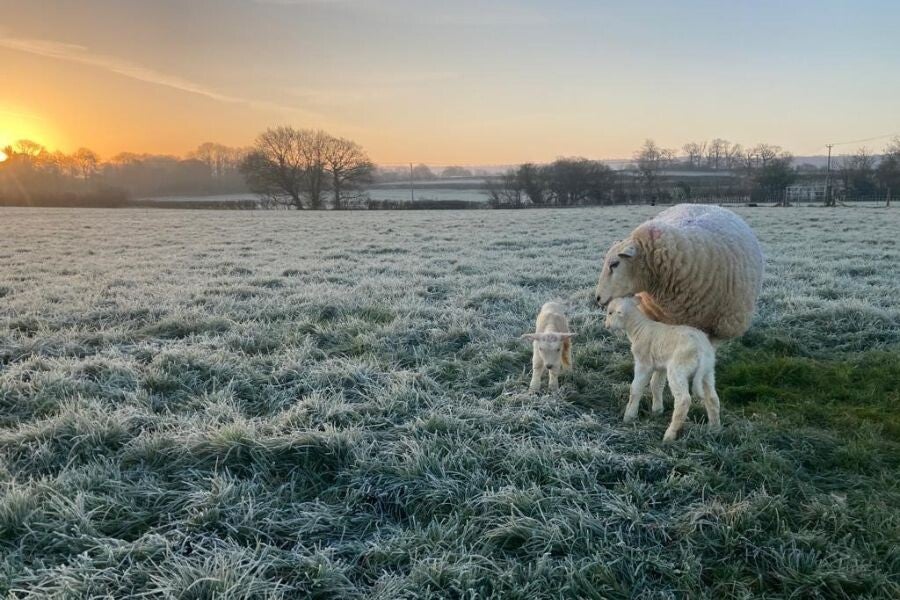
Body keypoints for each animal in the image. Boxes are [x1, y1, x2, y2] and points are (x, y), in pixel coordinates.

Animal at [605, 296, 720, 442]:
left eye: (610, 313)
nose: (606, 326)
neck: (638, 329)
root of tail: (703, 349)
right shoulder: (660, 366)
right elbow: (656, 385)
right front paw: (657, 410)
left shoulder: (644, 364)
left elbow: (635, 388)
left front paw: (629, 416)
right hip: (708, 372)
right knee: (712, 398)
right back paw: (714, 428)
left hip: (678, 369)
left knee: (683, 400)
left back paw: (669, 435)